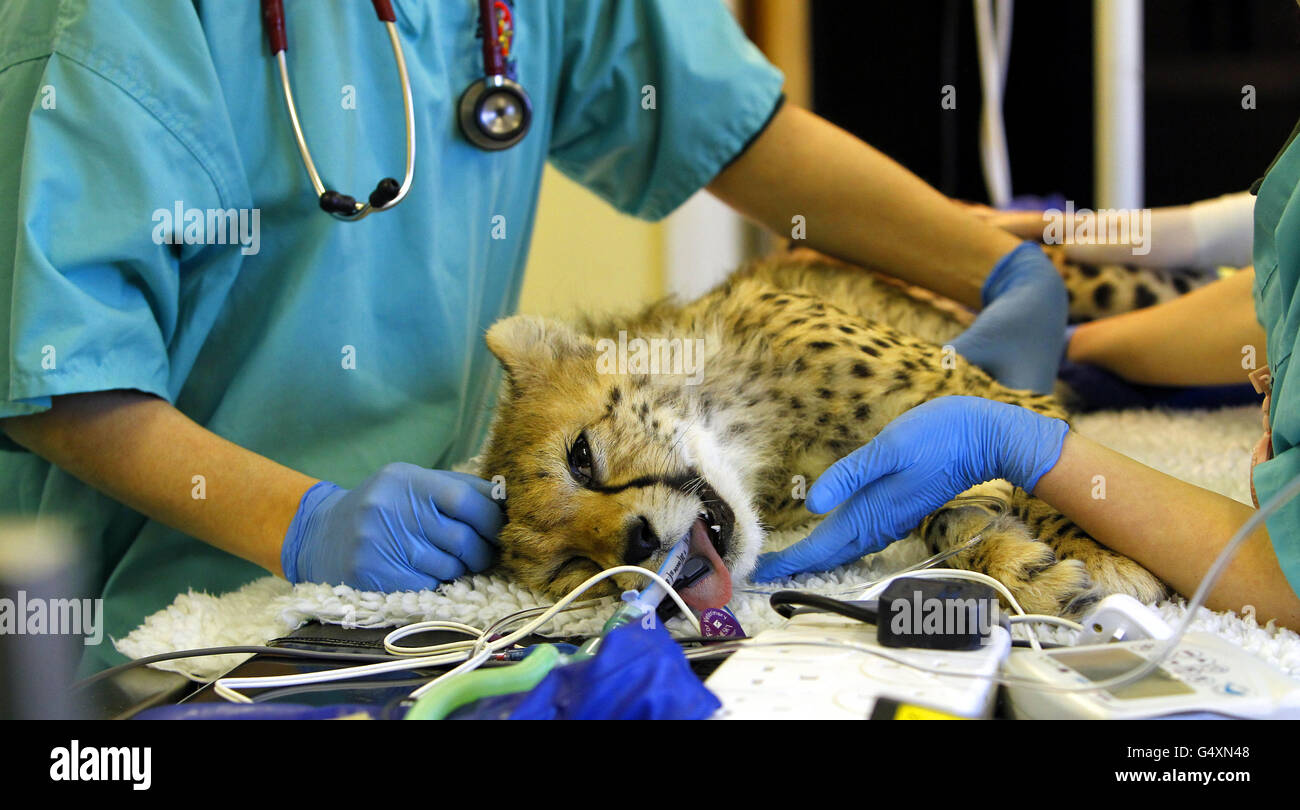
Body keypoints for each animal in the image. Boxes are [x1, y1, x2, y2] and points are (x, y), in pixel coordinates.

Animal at [480, 250, 1171, 619]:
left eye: (581, 458)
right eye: (575, 570)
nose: (638, 541)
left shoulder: (997, 403)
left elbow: (1043, 469)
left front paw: (1104, 556)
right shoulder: (915, 469)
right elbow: (942, 517)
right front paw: (1025, 571)